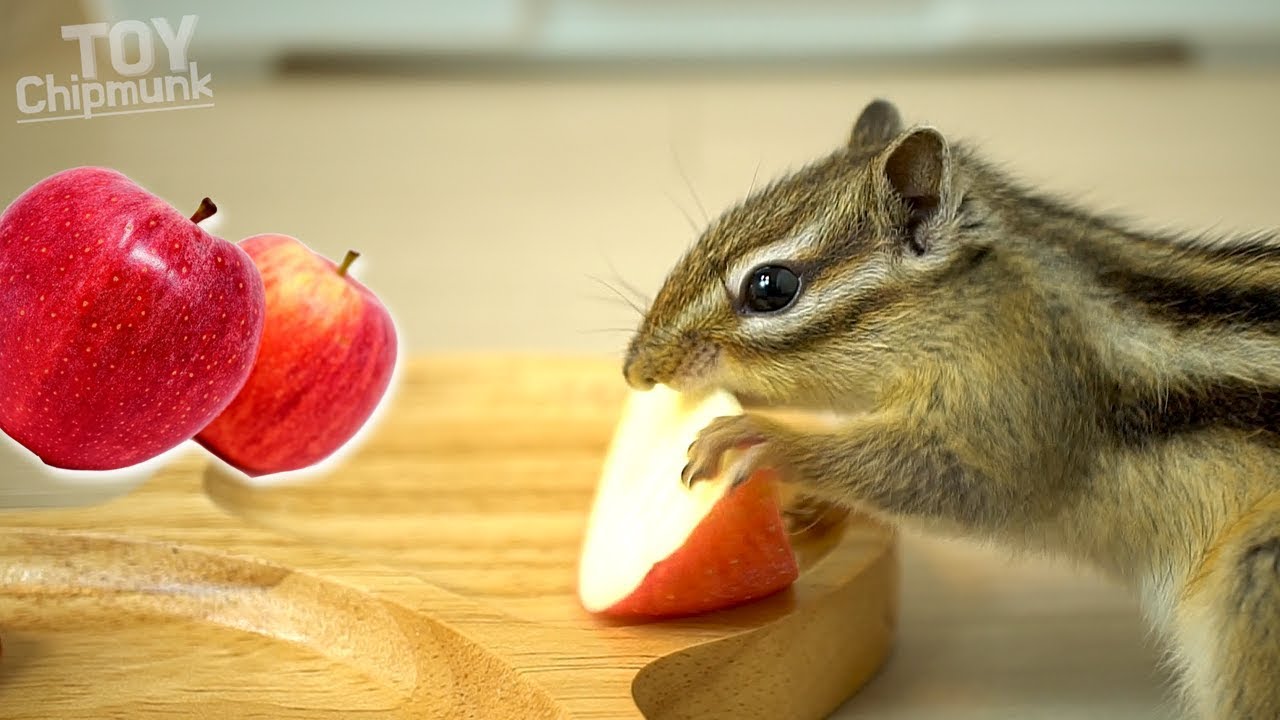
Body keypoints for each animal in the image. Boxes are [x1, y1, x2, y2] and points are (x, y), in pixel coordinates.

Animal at [620, 98, 1280, 720]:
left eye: (771, 287)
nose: (636, 368)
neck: (977, 300)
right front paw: (807, 505)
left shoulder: (1013, 409)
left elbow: (954, 482)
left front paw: (767, 440)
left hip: (1253, 581)